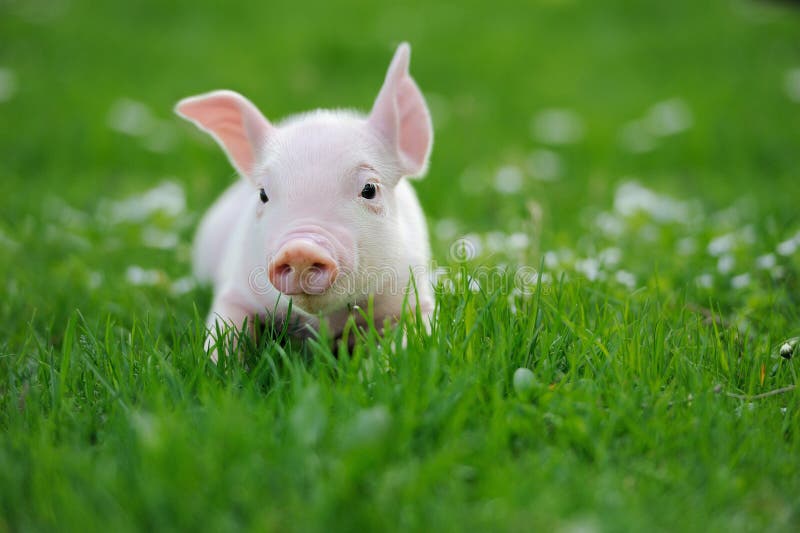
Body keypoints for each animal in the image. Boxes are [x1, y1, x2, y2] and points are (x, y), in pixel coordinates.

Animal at [175, 43, 434, 358]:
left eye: (369, 189)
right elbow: (223, 331)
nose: (300, 249)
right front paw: (216, 364)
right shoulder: (235, 286)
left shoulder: (413, 291)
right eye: (263, 194)